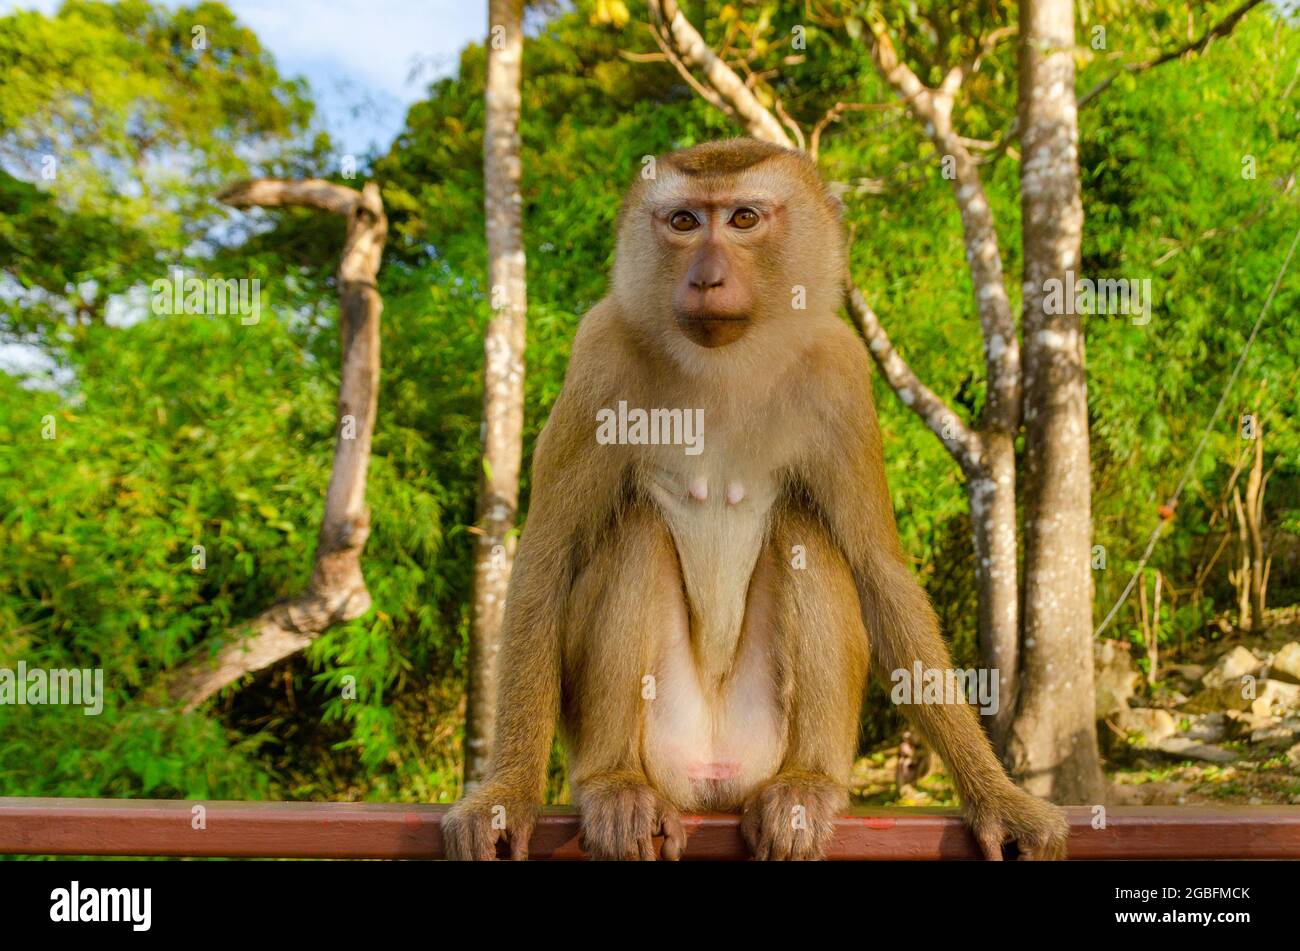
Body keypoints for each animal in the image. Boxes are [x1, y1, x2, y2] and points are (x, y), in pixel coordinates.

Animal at [443, 138, 1069, 861]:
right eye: (684, 222)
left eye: (743, 218)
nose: (706, 278)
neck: (725, 362)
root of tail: (714, 777)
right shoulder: (599, 354)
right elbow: (547, 559)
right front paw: (504, 793)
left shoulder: (841, 369)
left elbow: (879, 573)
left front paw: (997, 795)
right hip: (669, 744)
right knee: (635, 532)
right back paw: (616, 785)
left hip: (762, 742)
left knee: (807, 532)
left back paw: (807, 785)